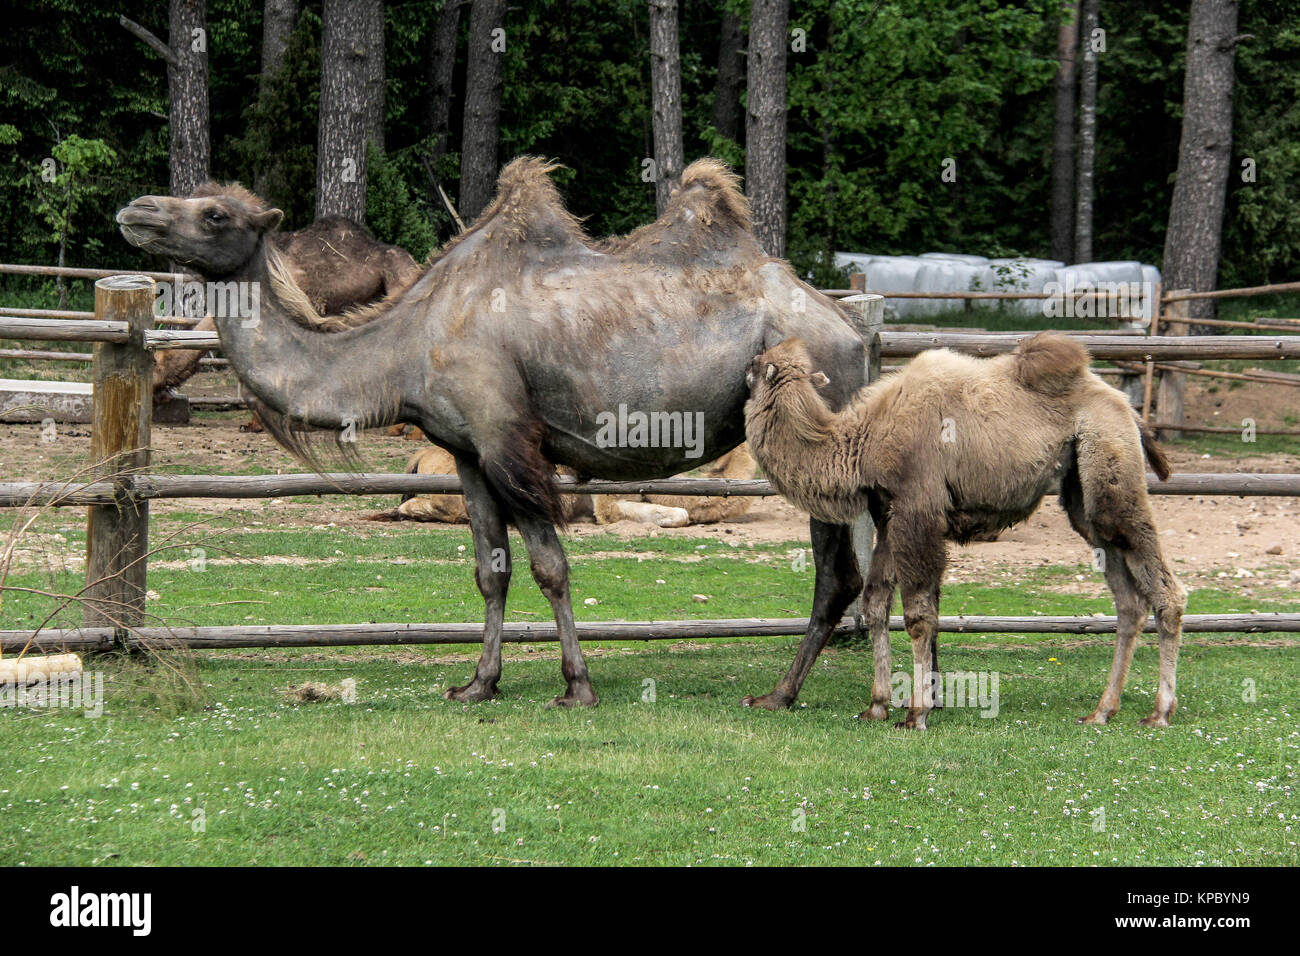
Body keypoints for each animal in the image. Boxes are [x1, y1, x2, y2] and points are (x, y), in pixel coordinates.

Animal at [743, 332, 1187, 729]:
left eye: (760, 363)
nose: (745, 368)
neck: (863, 441)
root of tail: (1128, 409)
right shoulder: (889, 515)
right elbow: (876, 604)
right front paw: (877, 706)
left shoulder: (918, 508)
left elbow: (919, 614)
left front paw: (916, 714)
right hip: (1082, 494)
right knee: (1129, 600)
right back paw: (1102, 711)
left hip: (1112, 472)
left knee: (1165, 588)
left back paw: (1160, 712)